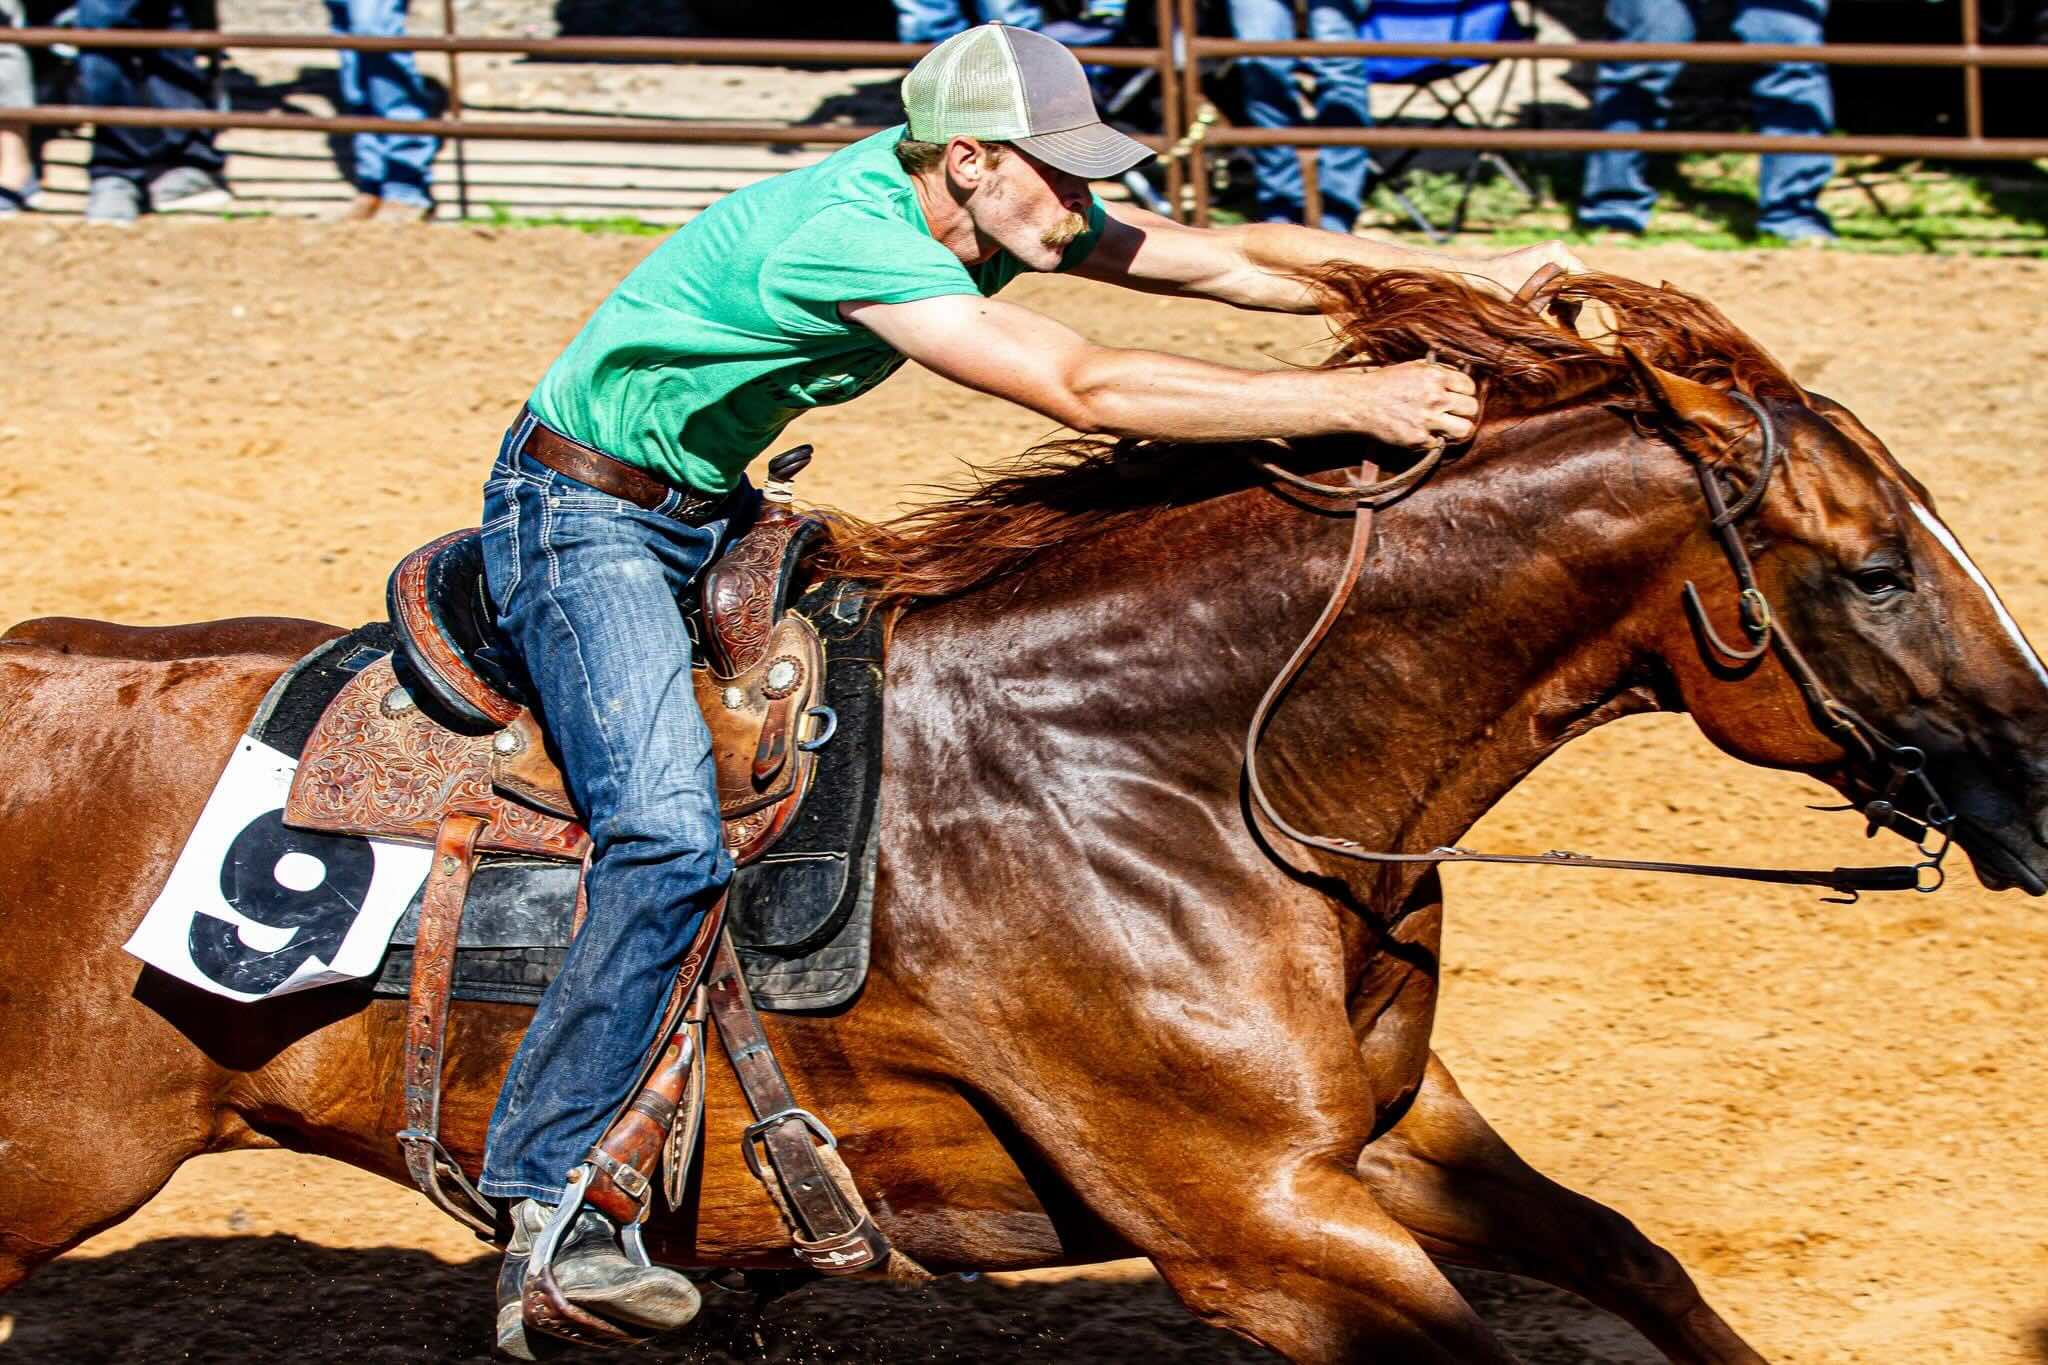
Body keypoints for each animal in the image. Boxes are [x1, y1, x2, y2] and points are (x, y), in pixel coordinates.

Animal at [2, 267, 2042, 1365]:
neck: (1154, 774)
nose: (2035, 778)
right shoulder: (1254, 1226)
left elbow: (1632, 1256)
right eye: (1872, 571)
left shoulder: (1383, 1138)